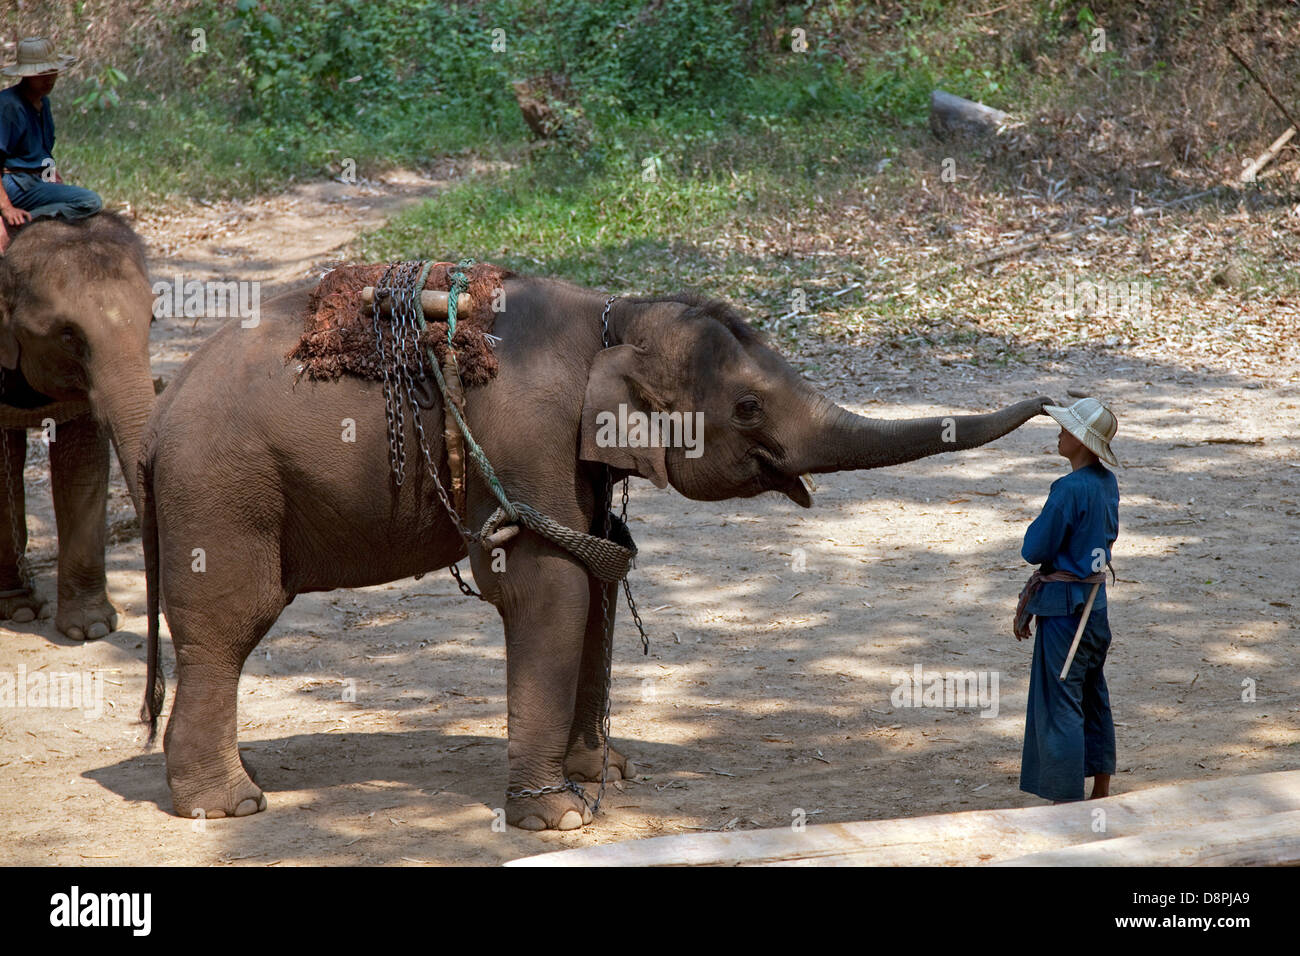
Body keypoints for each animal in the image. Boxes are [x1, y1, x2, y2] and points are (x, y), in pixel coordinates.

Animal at [137, 271, 1051, 829]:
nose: (1051, 402)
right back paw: (229, 806)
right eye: (748, 408)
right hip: (220, 492)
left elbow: (602, 573)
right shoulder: (525, 436)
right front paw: (561, 815)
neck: (616, 314)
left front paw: (608, 772)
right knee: (228, 623)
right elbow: (551, 588)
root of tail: (157, 411)